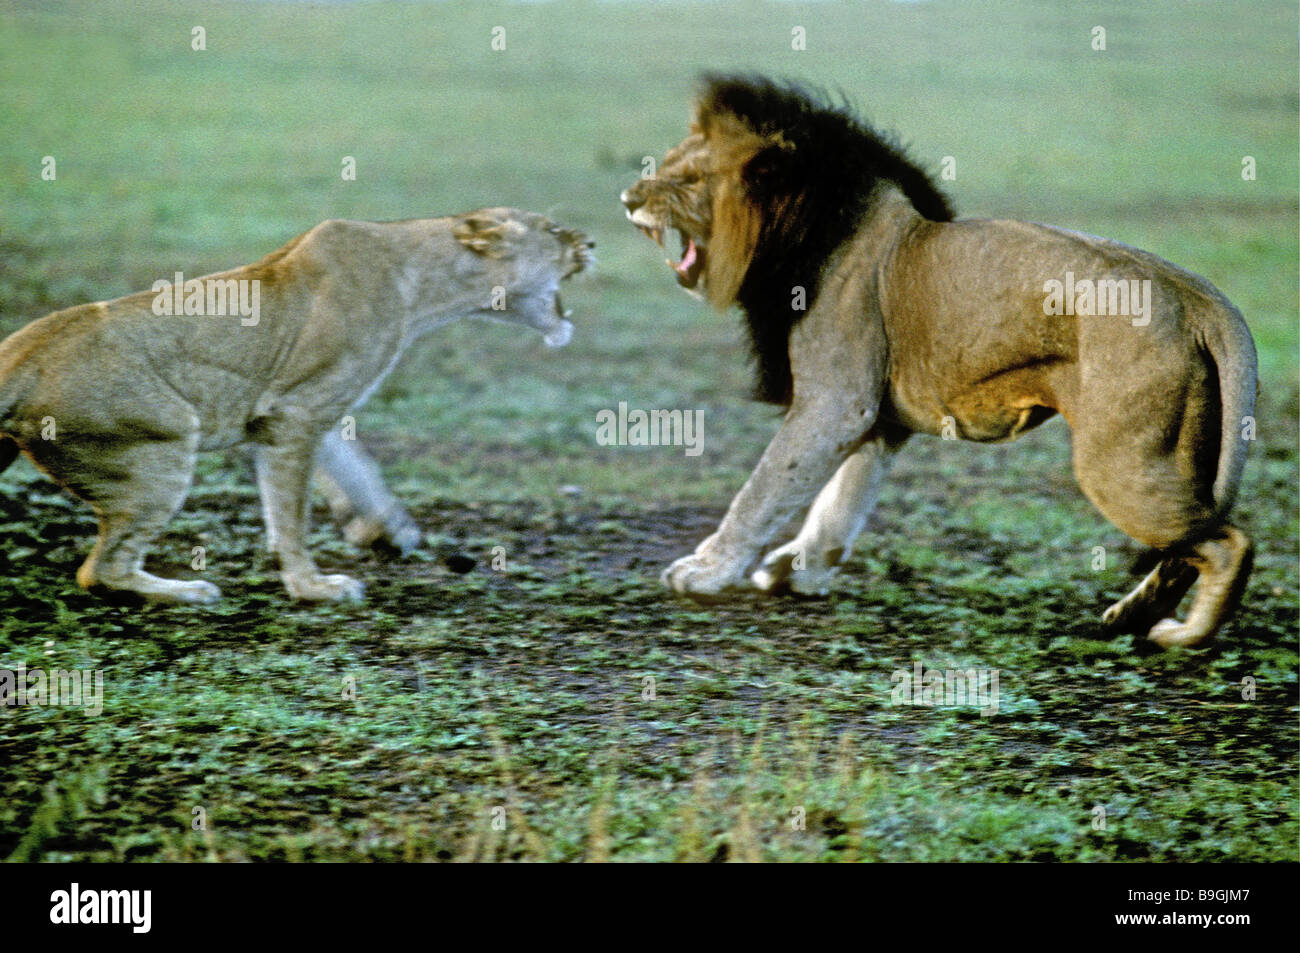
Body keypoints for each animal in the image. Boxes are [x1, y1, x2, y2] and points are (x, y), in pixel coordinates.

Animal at [0, 208, 592, 603]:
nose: (592, 240)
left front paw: (386, 530)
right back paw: (189, 592)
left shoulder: (307, 414)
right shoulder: (295, 414)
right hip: (161, 448)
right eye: (554, 231)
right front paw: (313, 586)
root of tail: (18, 359)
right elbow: (291, 513)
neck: (423, 288)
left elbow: (355, 470)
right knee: (99, 570)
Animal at [622, 75, 1257, 649]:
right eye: (668, 163)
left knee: (1230, 543)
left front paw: (706, 571)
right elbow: (840, 502)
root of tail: (1197, 297)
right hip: (1178, 452)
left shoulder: (837, 400)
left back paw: (1186, 634)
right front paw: (799, 568)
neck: (806, 229)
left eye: (688, 179)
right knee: (1190, 544)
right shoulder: (875, 417)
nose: (628, 200)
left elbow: (763, 490)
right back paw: (1131, 616)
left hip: (1118, 462)